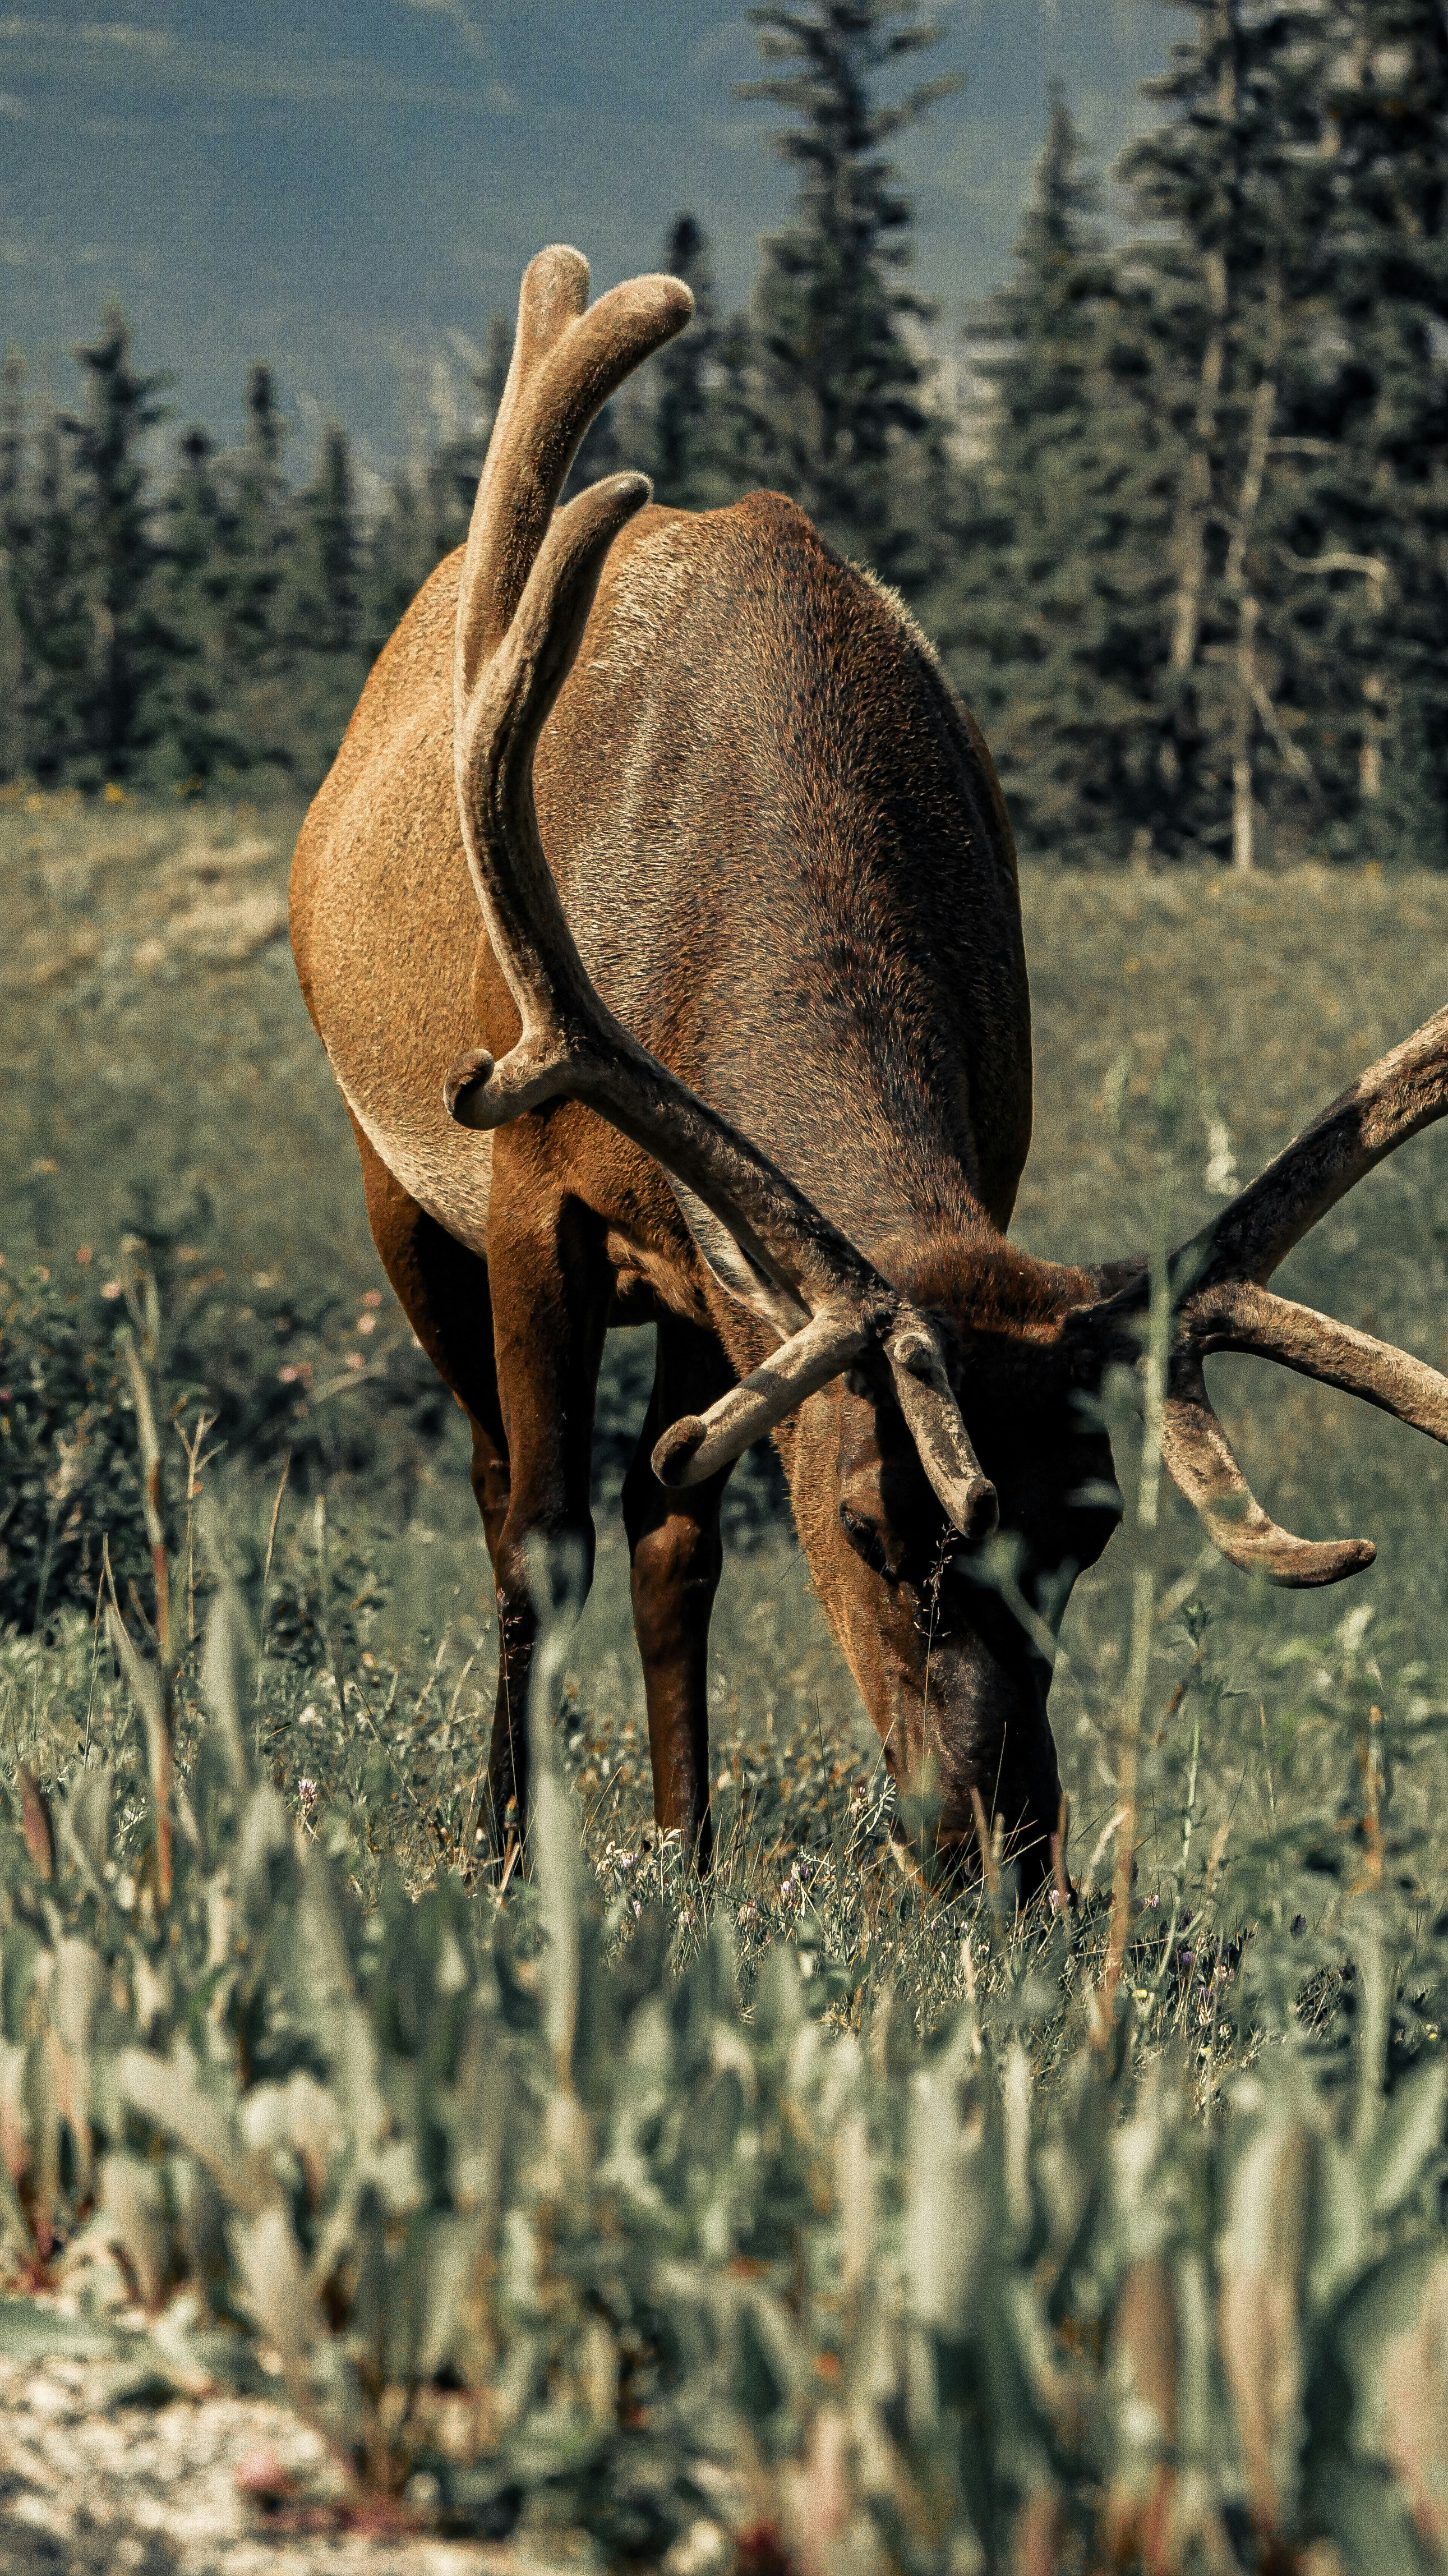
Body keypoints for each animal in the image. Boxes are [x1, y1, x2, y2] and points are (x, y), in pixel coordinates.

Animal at [290, 246, 1448, 1897]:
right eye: (859, 1525)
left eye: (1091, 1528)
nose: (1001, 1847)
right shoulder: (529, 1184)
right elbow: (539, 1534)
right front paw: (510, 1861)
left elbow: (670, 1517)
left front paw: (671, 1846)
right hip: (398, 1188)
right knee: (502, 1482)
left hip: (705, 1291)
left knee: (672, 1519)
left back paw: (688, 1842)